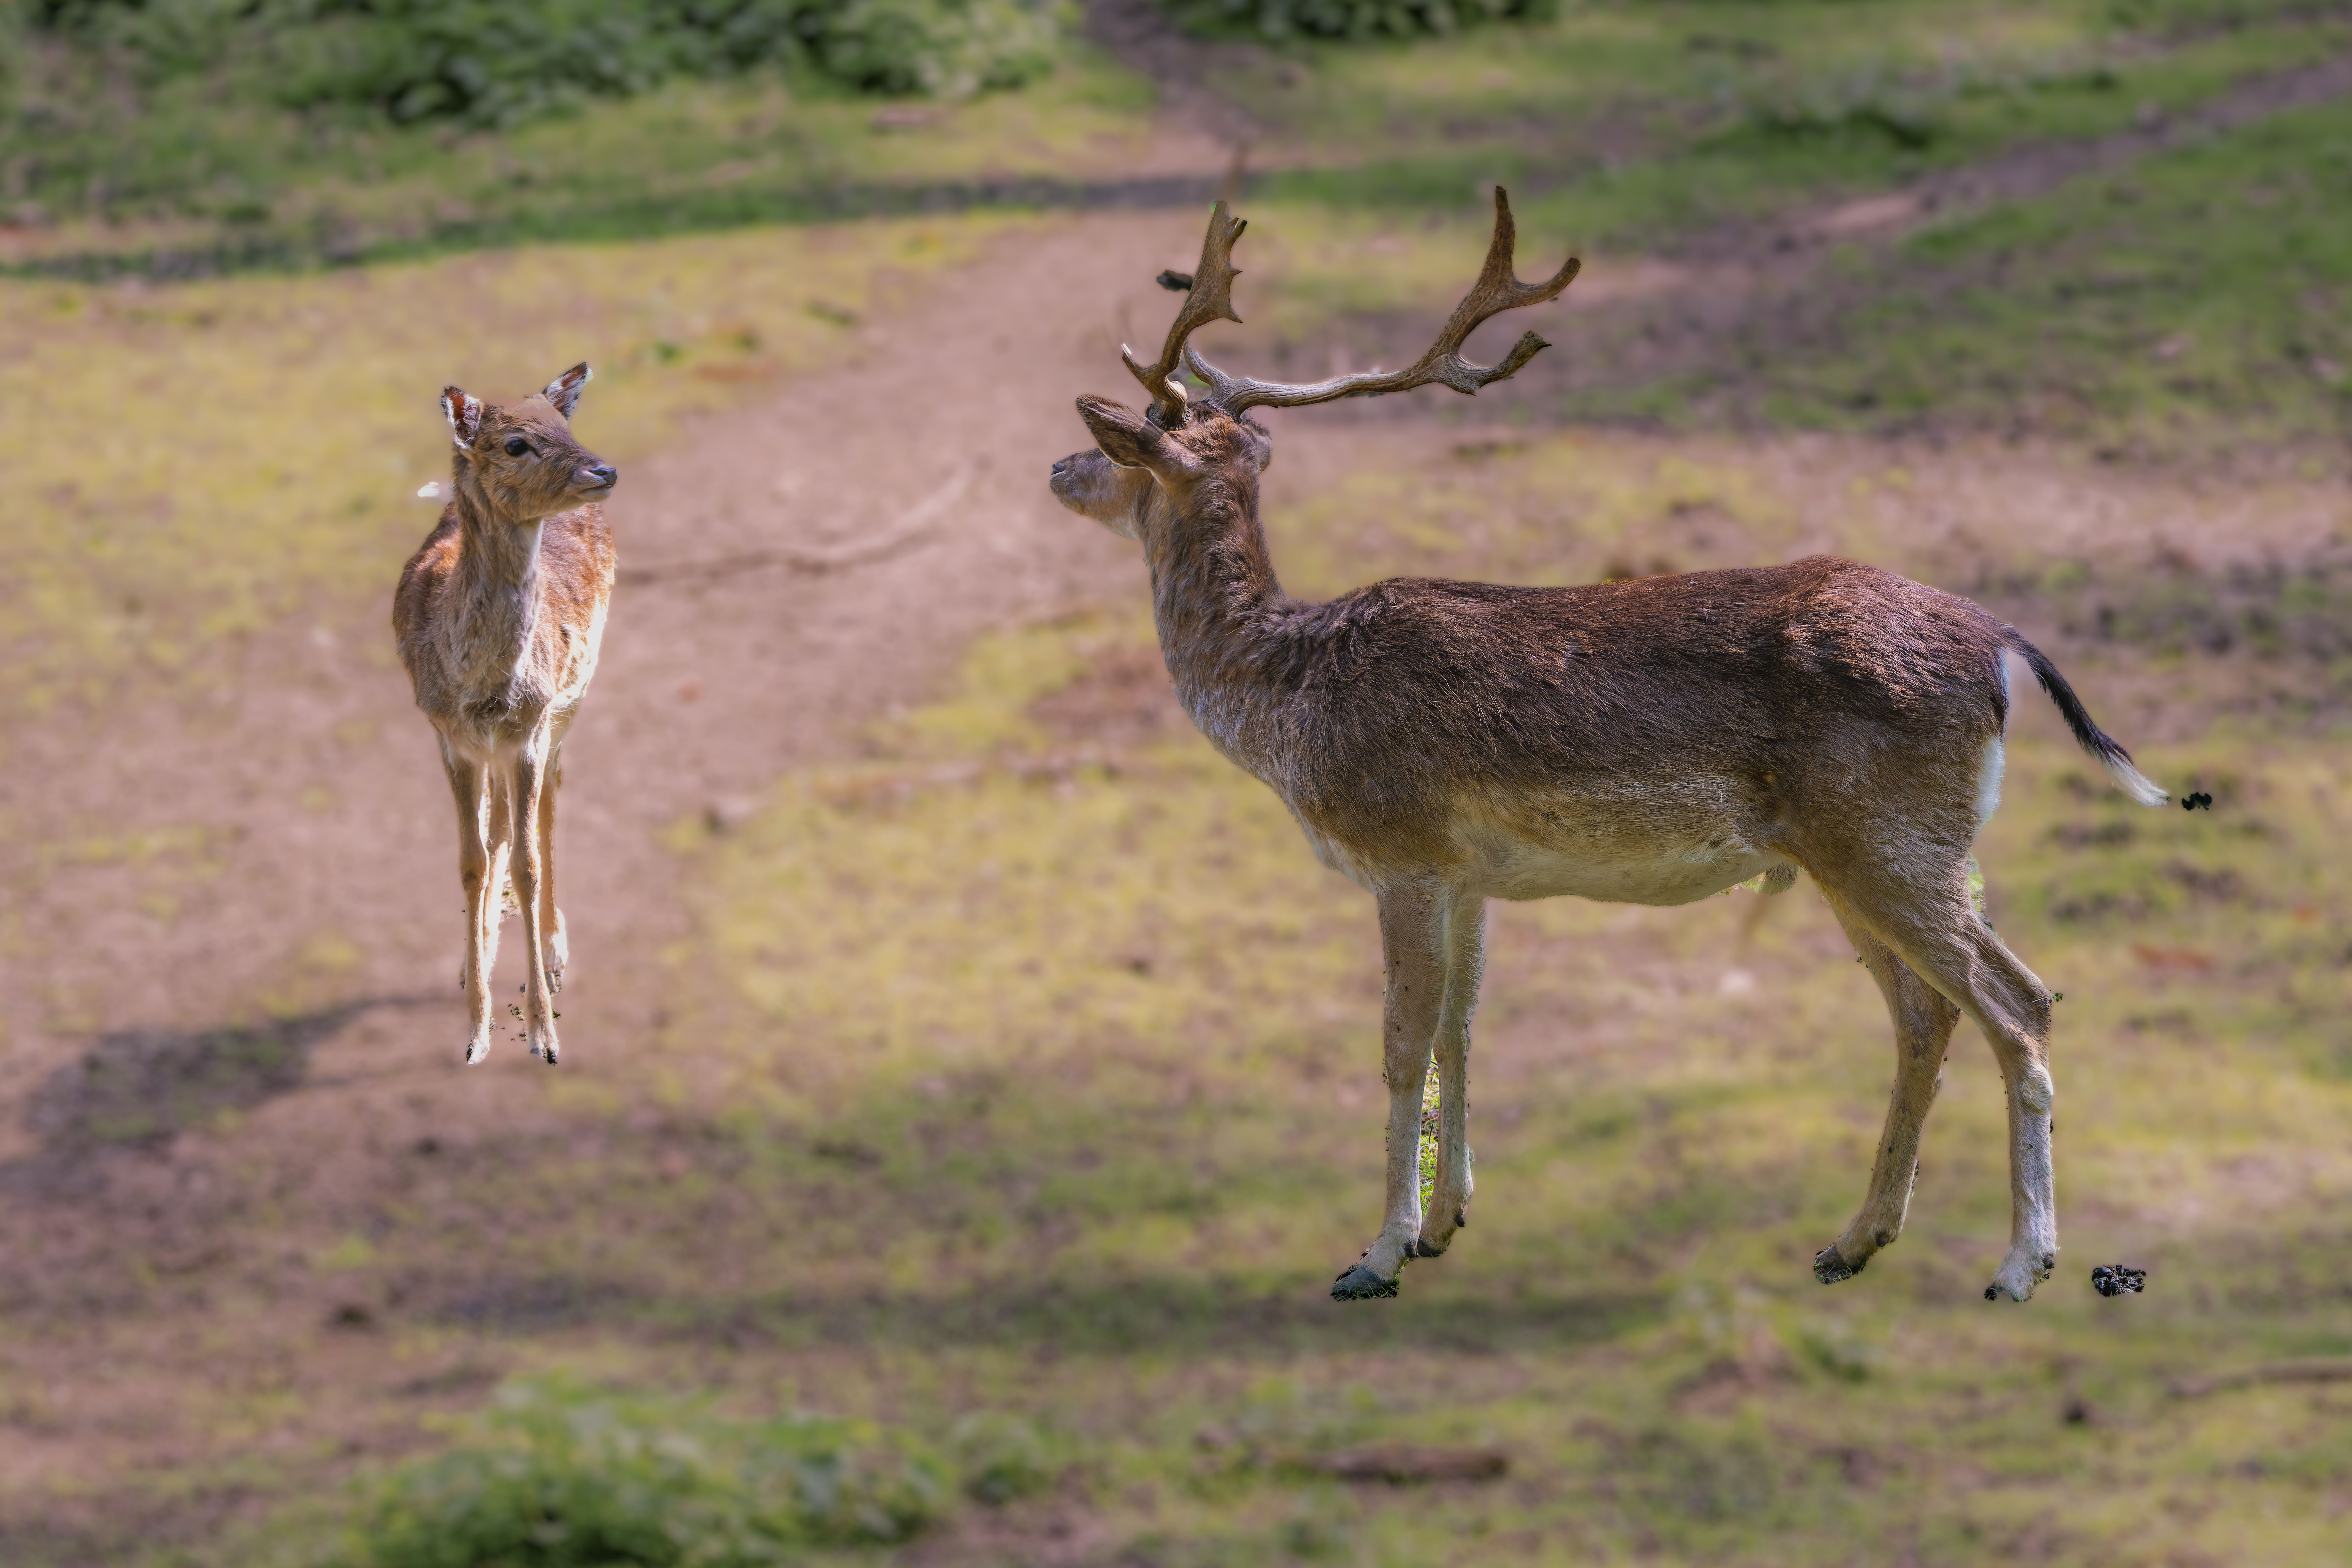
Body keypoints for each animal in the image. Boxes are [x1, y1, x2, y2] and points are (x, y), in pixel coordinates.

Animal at [394, 364, 616, 1067]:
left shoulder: (528, 729)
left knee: (548, 805)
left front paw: (545, 1034)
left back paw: (552, 947)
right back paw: (483, 952)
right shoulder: (448, 735)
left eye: (564, 428)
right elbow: (471, 858)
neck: (484, 689)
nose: (604, 470)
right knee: (496, 827)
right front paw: (474, 1028)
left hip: (570, 703)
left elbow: (527, 861)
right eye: (517, 444)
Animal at [1047, 192, 2171, 1305]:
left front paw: (1375, 1254)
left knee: (2018, 1003)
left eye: (1127, 442)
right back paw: (1851, 1241)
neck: (1289, 704)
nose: (1057, 464)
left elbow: (1401, 1043)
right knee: (1925, 1015)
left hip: (1892, 840)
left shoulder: (1402, 851)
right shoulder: (1469, 875)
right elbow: (1461, 1027)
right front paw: (1445, 1224)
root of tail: (2000, 646)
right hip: (1857, 855)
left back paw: (2018, 1263)